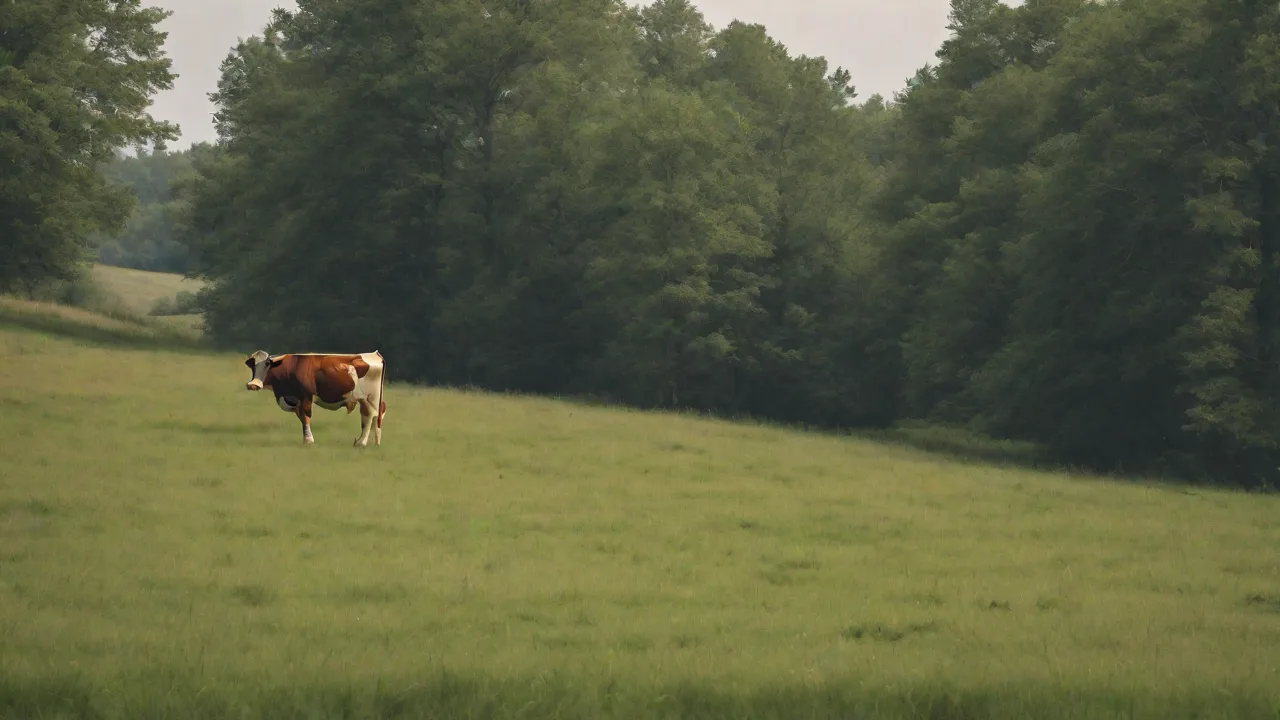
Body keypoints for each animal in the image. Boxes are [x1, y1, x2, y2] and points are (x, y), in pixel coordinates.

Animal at [243, 350, 387, 447]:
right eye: (252, 366)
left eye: (267, 364)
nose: (253, 385)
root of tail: (375, 355)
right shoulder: (296, 400)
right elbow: (302, 418)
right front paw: (306, 439)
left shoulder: (306, 396)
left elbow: (306, 417)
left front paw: (309, 441)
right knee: (375, 416)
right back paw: (374, 442)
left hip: (370, 398)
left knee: (369, 417)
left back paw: (361, 443)